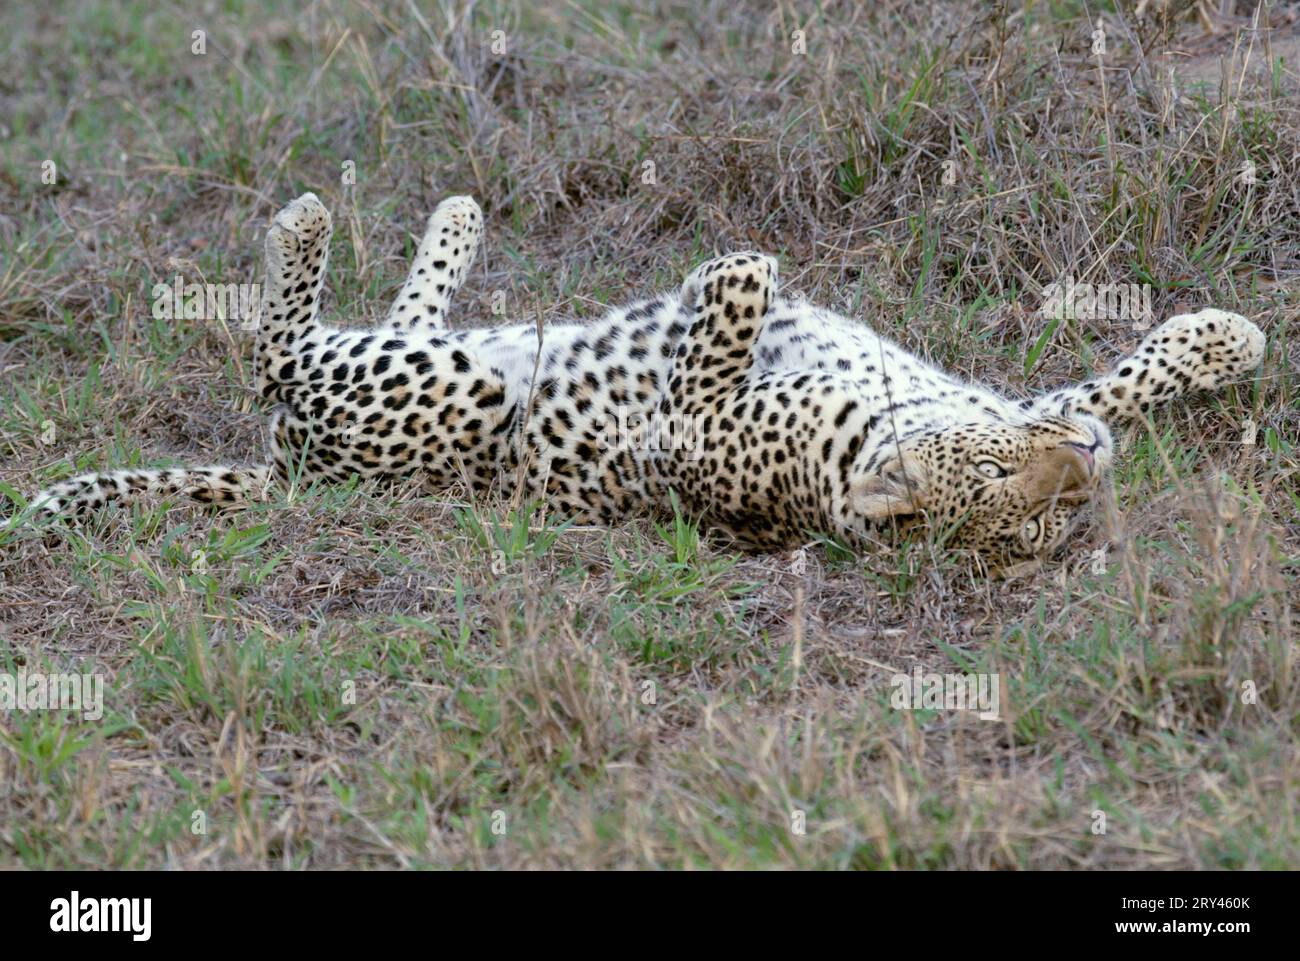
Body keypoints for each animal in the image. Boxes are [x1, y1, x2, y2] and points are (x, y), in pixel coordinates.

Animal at [30, 192, 1266, 572]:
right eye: (1005, 487)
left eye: (1039, 527)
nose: (1086, 476)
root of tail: (289, 472)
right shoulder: (691, 410)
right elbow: (1103, 387)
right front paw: (1228, 337)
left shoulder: (694, 413)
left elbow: (1104, 392)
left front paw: (1215, 346)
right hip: (445, 374)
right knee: (295, 342)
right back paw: (396, 220)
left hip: (436, 386)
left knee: (291, 351)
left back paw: (364, 222)